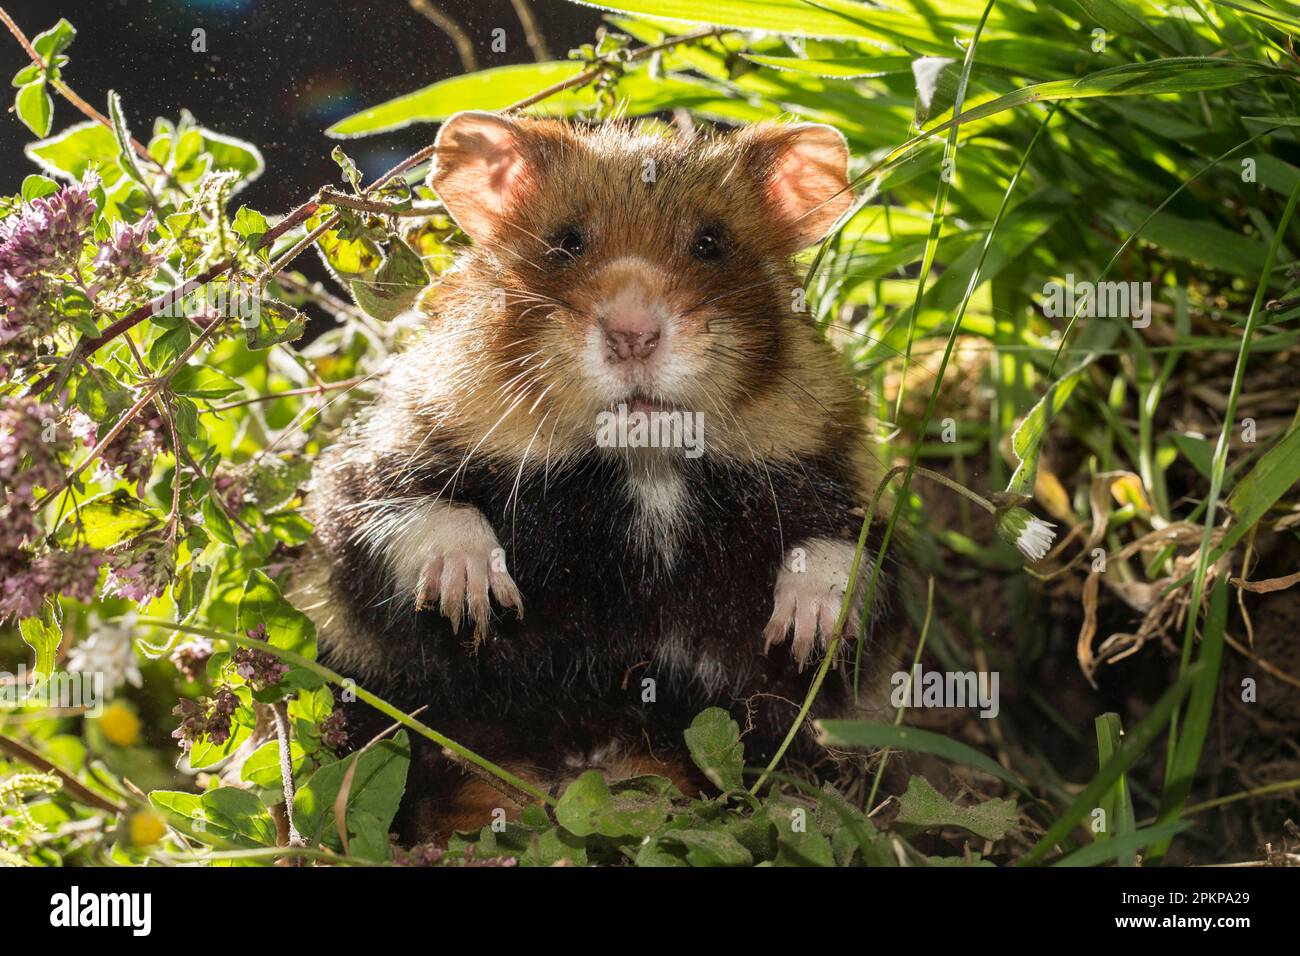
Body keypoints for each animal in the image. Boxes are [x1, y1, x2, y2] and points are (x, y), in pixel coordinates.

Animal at [297, 111, 900, 842]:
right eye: (567, 242)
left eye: (710, 243)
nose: (632, 335)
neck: (646, 468)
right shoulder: (368, 473)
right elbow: (416, 512)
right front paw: (476, 599)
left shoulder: (842, 471)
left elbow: (846, 553)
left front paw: (803, 633)